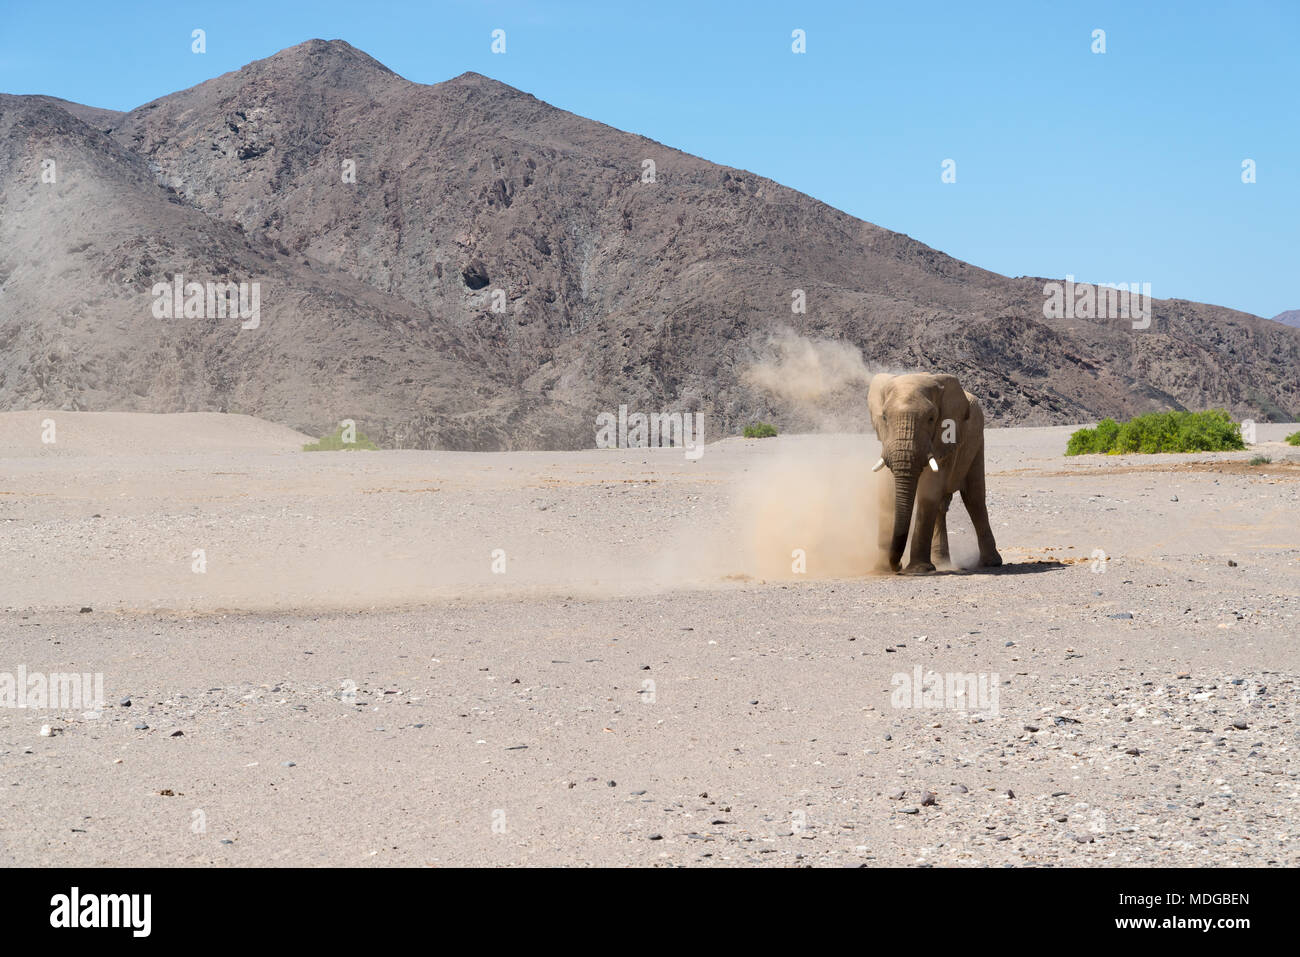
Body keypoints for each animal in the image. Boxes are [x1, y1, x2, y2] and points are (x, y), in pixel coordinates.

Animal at [867, 372, 1002, 575]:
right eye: (884, 417)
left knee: (974, 499)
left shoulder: (942, 441)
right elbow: (887, 493)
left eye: (931, 418)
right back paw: (940, 562)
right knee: (942, 506)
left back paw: (991, 563)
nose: (897, 566)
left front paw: (917, 570)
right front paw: (881, 569)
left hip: (977, 442)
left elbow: (928, 493)